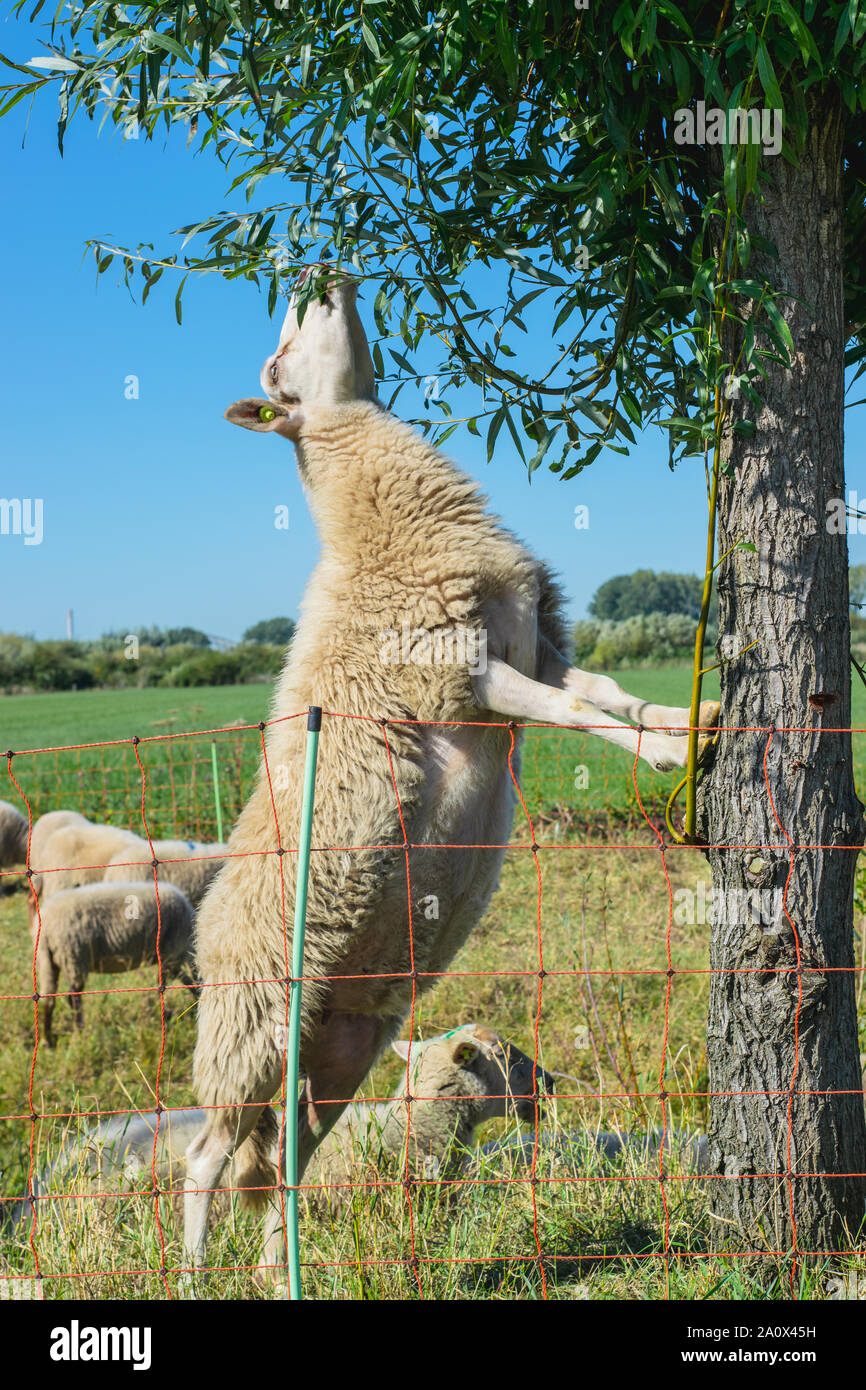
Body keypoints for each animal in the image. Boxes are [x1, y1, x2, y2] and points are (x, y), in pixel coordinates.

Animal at [29, 881, 196, 1045]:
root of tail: (46, 927)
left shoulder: (171, 959)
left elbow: (182, 979)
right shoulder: (170, 954)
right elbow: (167, 983)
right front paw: (168, 1012)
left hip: (48, 960)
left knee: (49, 999)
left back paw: (47, 1040)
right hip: (75, 957)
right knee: (74, 997)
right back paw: (80, 1031)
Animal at [183, 267, 720, 1278]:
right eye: (277, 360)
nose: (318, 267)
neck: (385, 530)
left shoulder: (535, 646)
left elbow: (611, 694)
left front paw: (687, 724)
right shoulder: (463, 672)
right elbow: (578, 716)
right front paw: (674, 751)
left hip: (341, 1047)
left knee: (284, 1159)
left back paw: (277, 1267)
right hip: (250, 1029)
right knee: (205, 1160)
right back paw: (191, 1276)